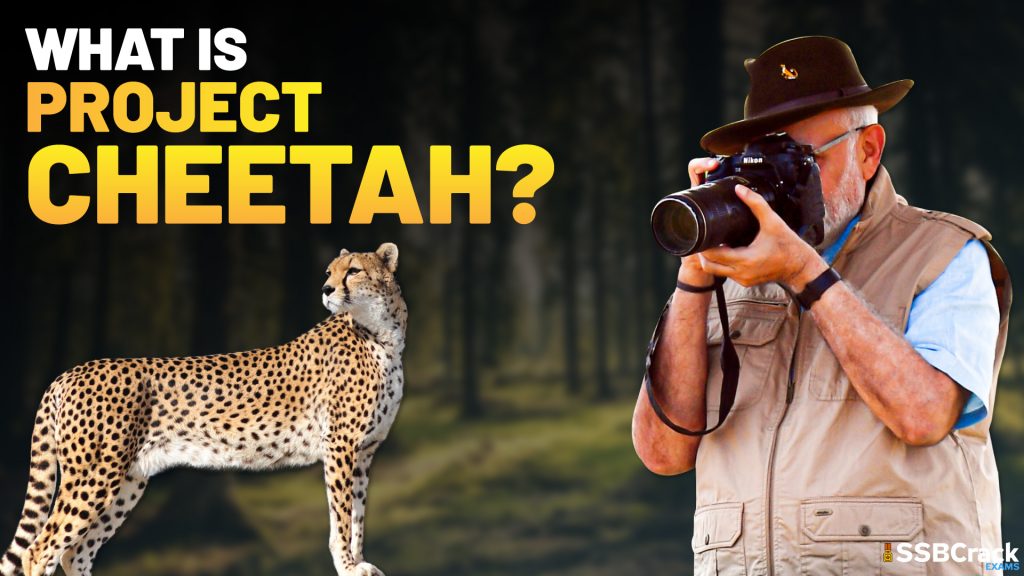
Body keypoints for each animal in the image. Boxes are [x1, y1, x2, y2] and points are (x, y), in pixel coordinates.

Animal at [1, 242, 407, 576]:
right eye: (328, 272)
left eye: (352, 270)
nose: (326, 290)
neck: (383, 335)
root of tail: (68, 372)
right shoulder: (340, 445)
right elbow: (341, 516)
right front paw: (349, 566)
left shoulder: (364, 451)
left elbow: (357, 515)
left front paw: (359, 562)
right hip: (95, 474)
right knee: (40, 550)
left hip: (128, 480)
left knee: (74, 553)